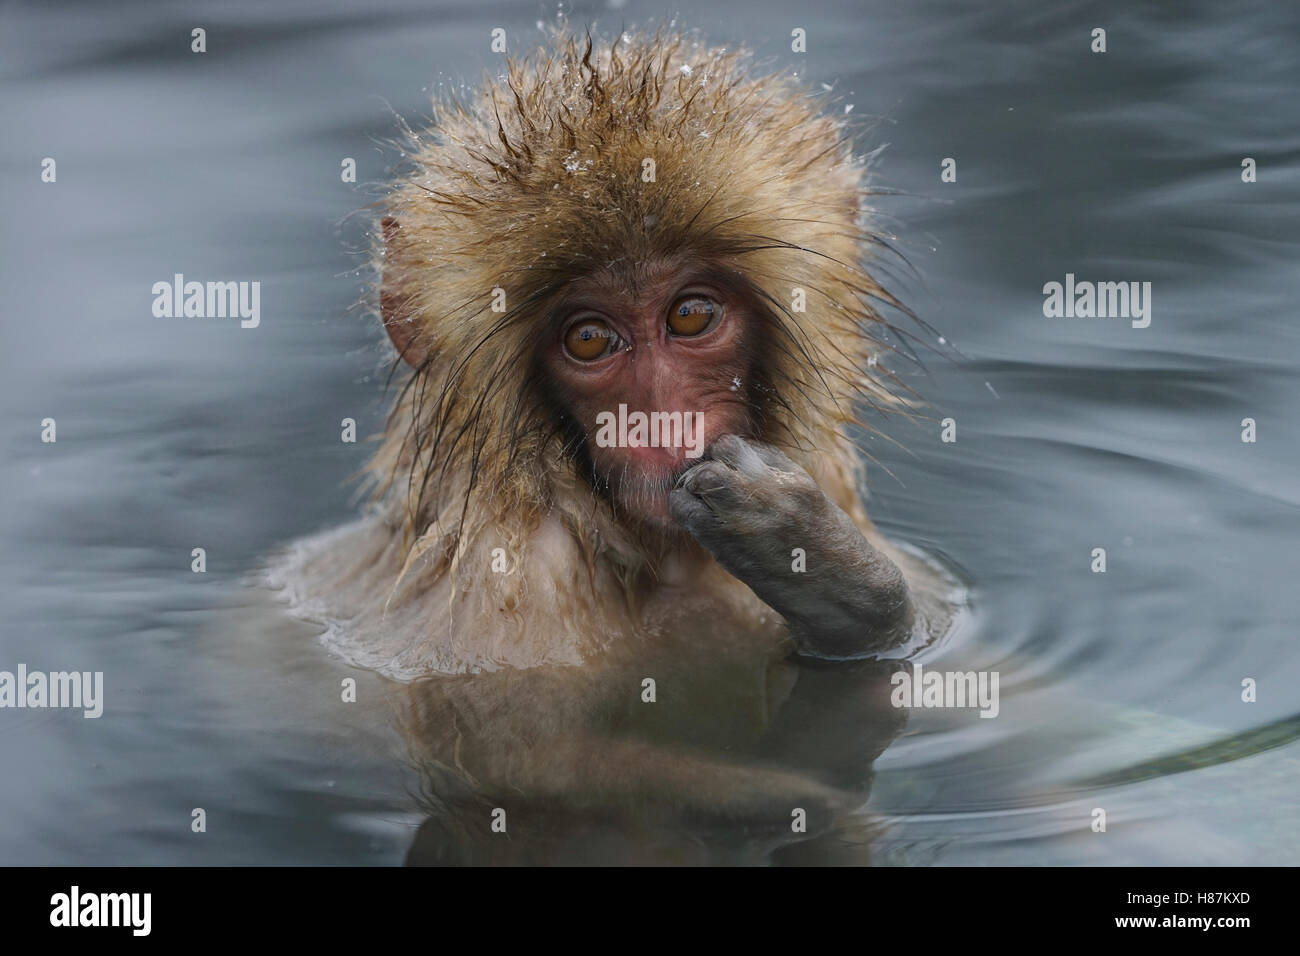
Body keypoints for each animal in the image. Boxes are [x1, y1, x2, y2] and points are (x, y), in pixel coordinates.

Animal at [271, 27, 962, 863]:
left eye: (691, 316)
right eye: (590, 339)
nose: (660, 422)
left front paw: (831, 573)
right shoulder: (512, 590)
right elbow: (527, 760)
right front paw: (768, 794)